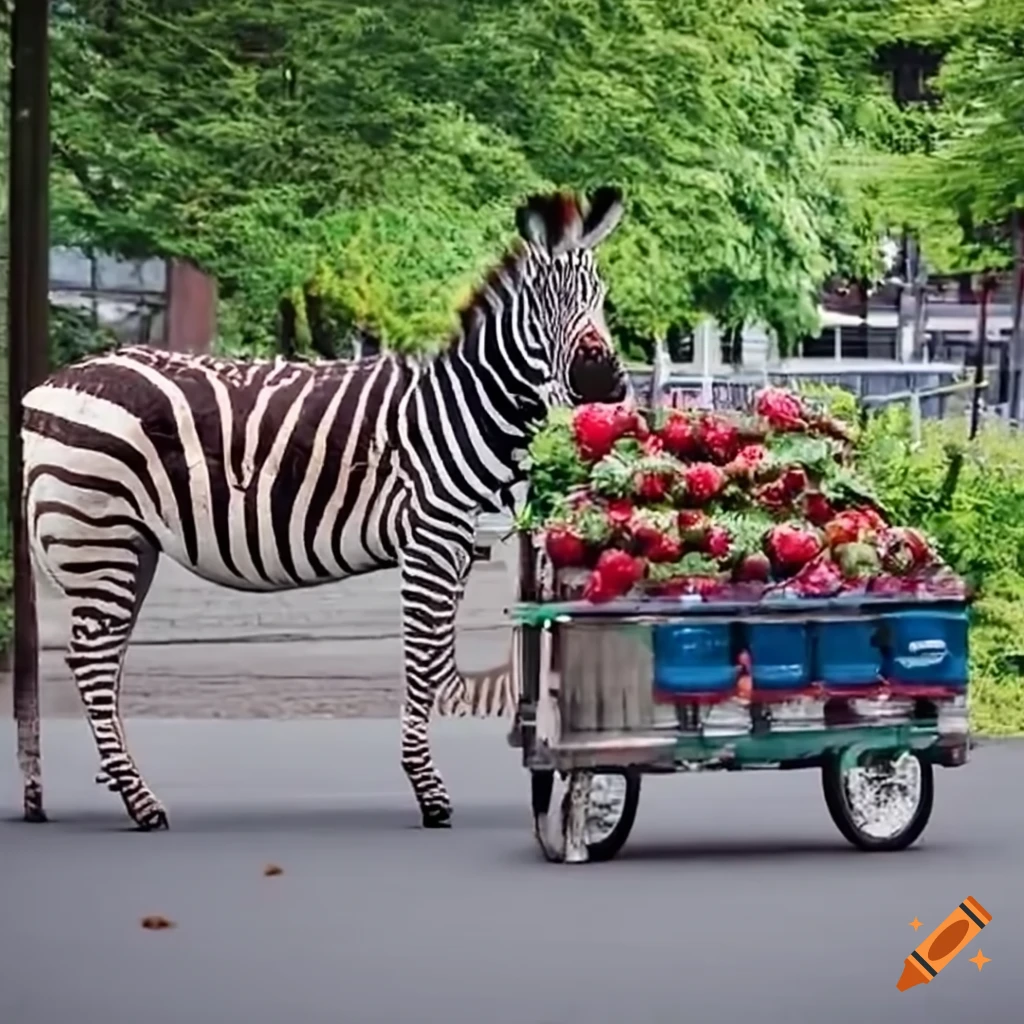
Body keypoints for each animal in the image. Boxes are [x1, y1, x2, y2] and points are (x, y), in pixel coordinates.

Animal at [18, 186, 628, 830]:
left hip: (129, 544)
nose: (608, 381)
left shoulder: (462, 540)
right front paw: (429, 790)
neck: (463, 405)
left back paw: (114, 785)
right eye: (550, 299)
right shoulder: (431, 536)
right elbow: (422, 656)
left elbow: (439, 656)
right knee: (91, 659)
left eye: (600, 296)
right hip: (97, 534)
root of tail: (48, 386)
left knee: (102, 659)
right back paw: (140, 801)